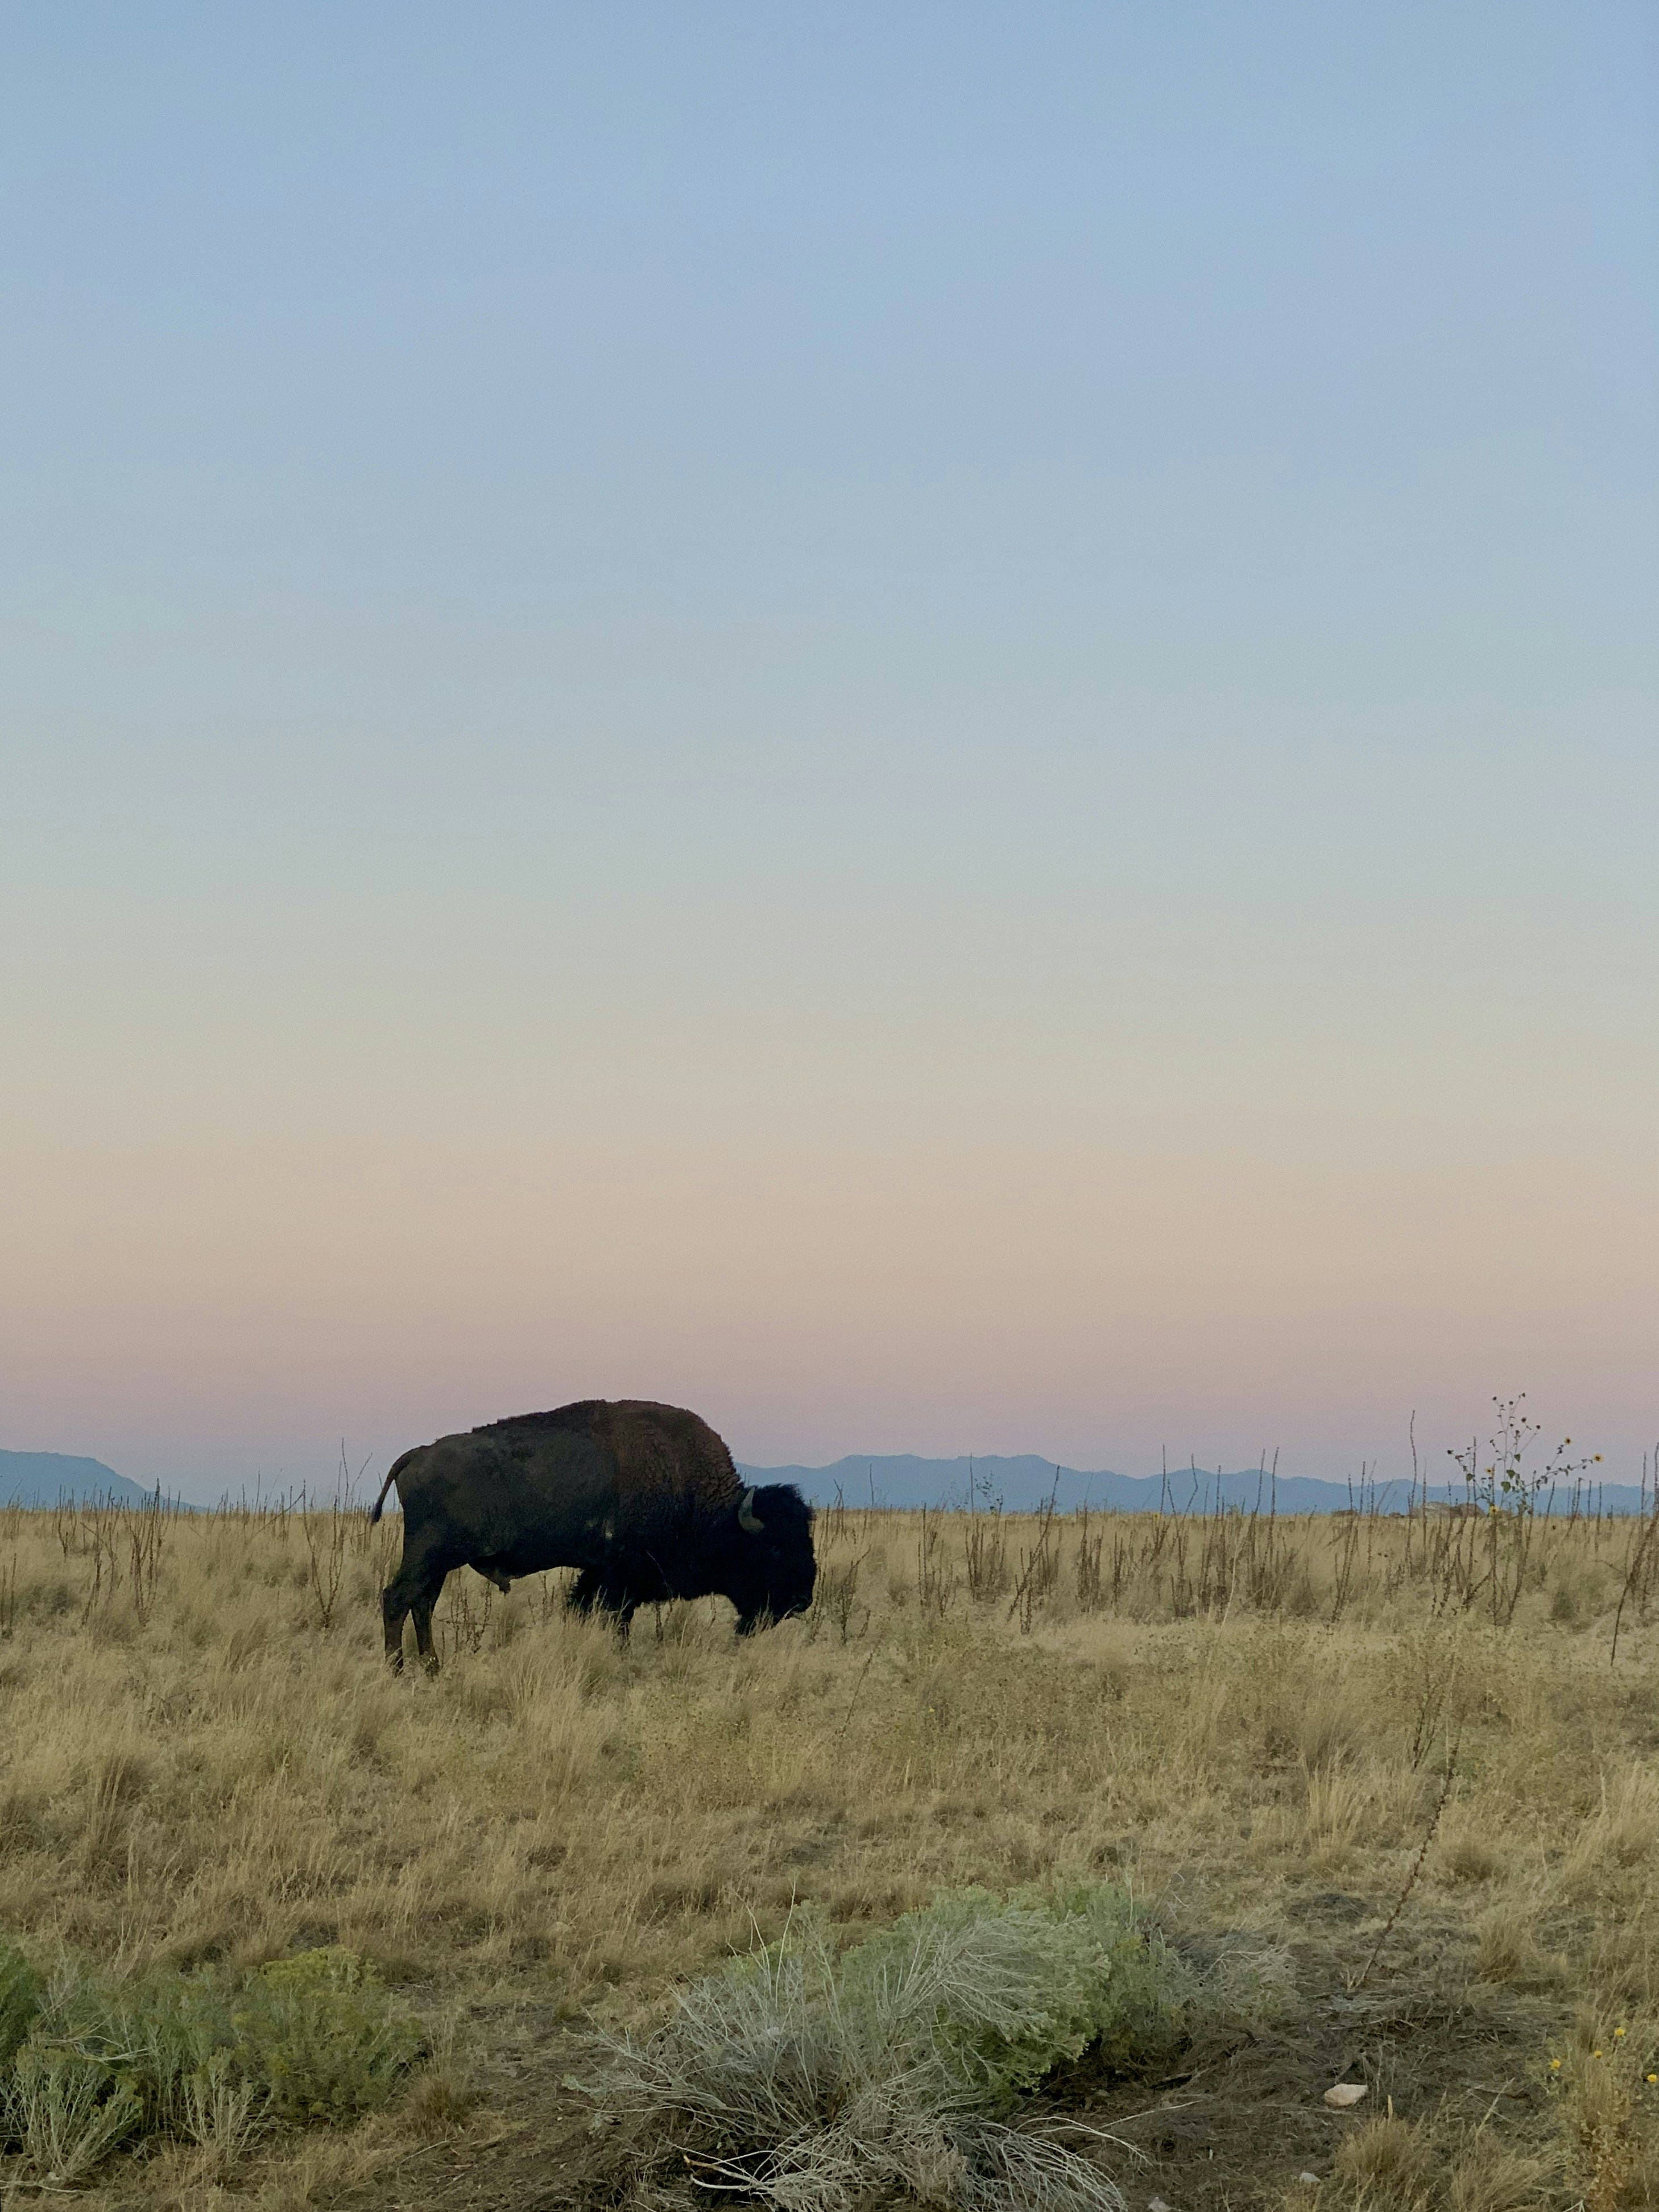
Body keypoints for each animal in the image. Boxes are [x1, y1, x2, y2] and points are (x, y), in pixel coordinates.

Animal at [369, 1399, 816, 1671]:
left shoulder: (599, 1575)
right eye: (775, 1550)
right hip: (430, 1554)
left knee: (422, 1603)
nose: (803, 1599)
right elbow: (617, 1621)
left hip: (438, 1562)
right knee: (397, 1598)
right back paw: (397, 1670)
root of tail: (418, 1454)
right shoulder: (621, 1578)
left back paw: (432, 1667)